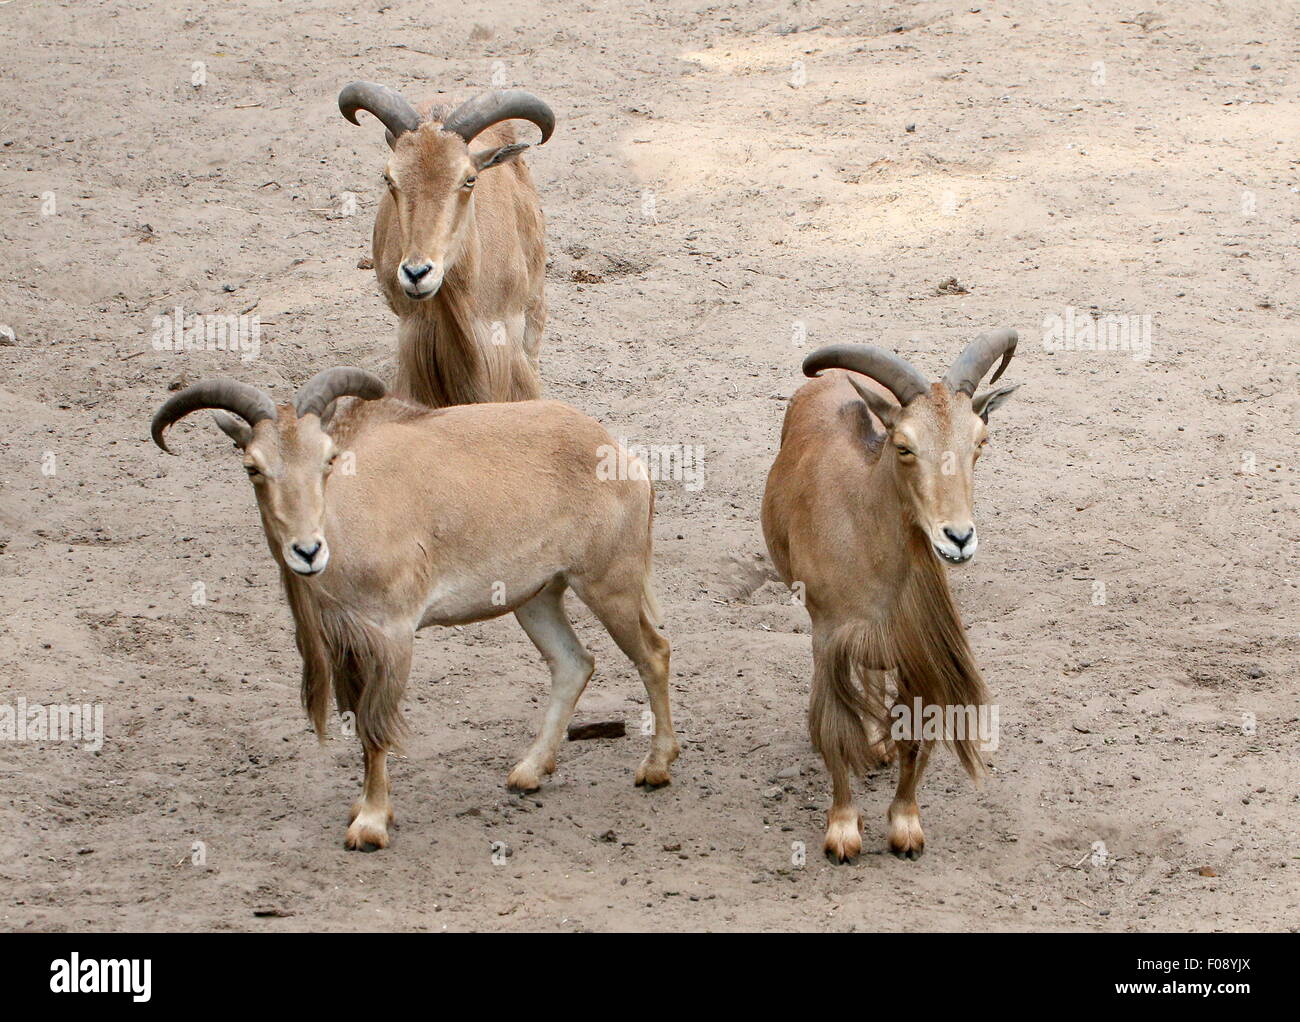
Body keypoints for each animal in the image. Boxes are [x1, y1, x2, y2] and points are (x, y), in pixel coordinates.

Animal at [152, 368, 678, 851]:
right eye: (253, 467)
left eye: (328, 460)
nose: (307, 551)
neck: (348, 521)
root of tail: (619, 453)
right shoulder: (345, 643)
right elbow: (356, 721)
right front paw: (363, 806)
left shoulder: (392, 634)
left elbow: (375, 727)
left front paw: (371, 824)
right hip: (537, 595)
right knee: (574, 663)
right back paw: (529, 772)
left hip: (609, 583)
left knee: (653, 653)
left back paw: (656, 766)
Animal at [760, 331, 1020, 862]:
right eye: (903, 446)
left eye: (979, 442)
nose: (958, 538)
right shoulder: (830, 636)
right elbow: (835, 729)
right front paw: (842, 832)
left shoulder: (914, 644)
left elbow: (914, 735)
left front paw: (905, 827)